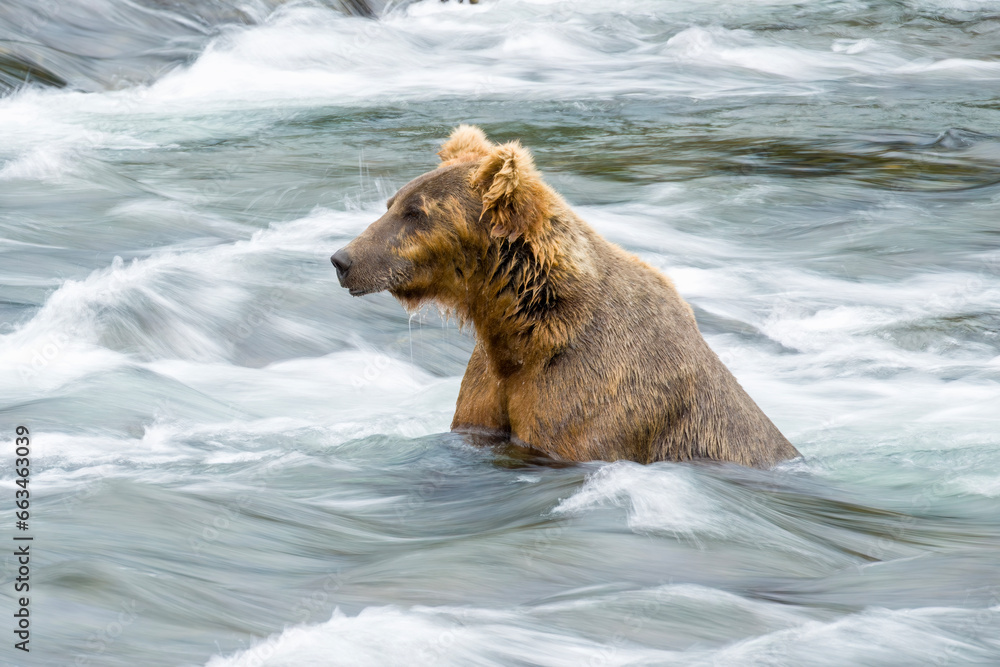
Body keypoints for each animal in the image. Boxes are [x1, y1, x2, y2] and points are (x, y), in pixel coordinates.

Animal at [331, 125, 800, 468]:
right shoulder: (489, 386)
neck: (525, 327)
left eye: (417, 212)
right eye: (391, 203)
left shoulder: (591, 394)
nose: (342, 259)